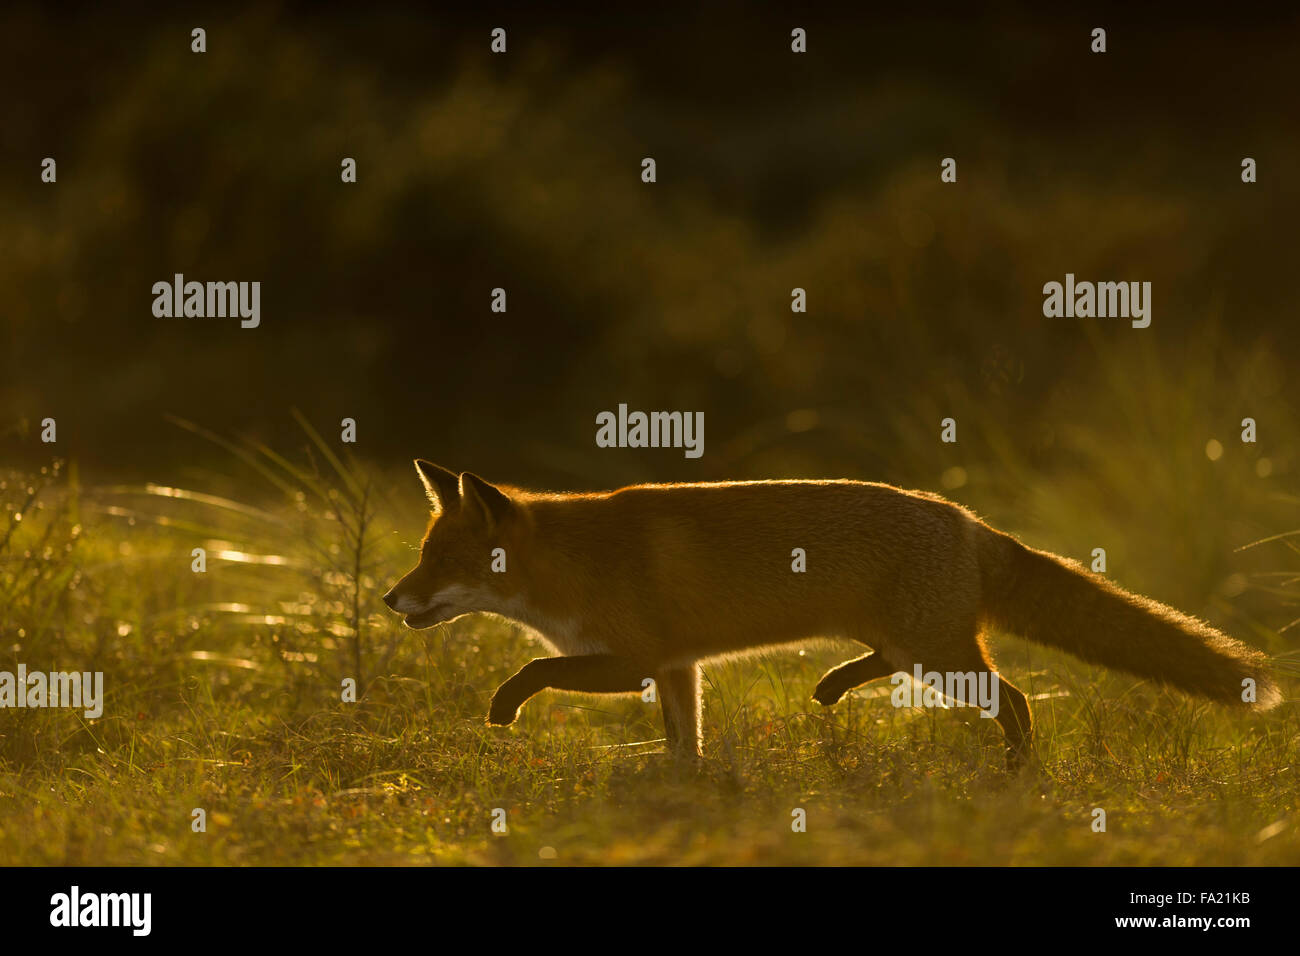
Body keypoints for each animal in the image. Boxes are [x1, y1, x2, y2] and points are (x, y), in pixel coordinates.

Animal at [383, 460, 1280, 768]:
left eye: (441, 563)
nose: (391, 600)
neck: (571, 563)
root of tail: (966, 519)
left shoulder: (634, 658)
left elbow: (531, 665)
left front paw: (503, 708)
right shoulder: (677, 667)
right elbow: (683, 744)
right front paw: (685, 792)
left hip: (937, 655)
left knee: (1017, 700)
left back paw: (1018, 774)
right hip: (917, 643)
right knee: (905, 663)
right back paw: (835, 685)